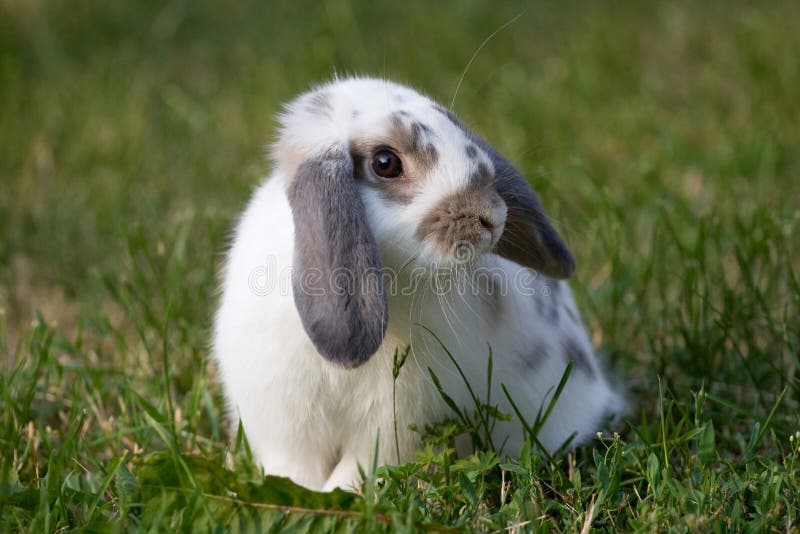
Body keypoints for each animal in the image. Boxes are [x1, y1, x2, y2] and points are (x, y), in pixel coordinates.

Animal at [212, 76, 624, 492]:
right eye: (385, 163)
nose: (493, 217)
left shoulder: (395, 423)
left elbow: (361, 467)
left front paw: (338, 495)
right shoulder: (283, 422)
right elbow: (293, 468)